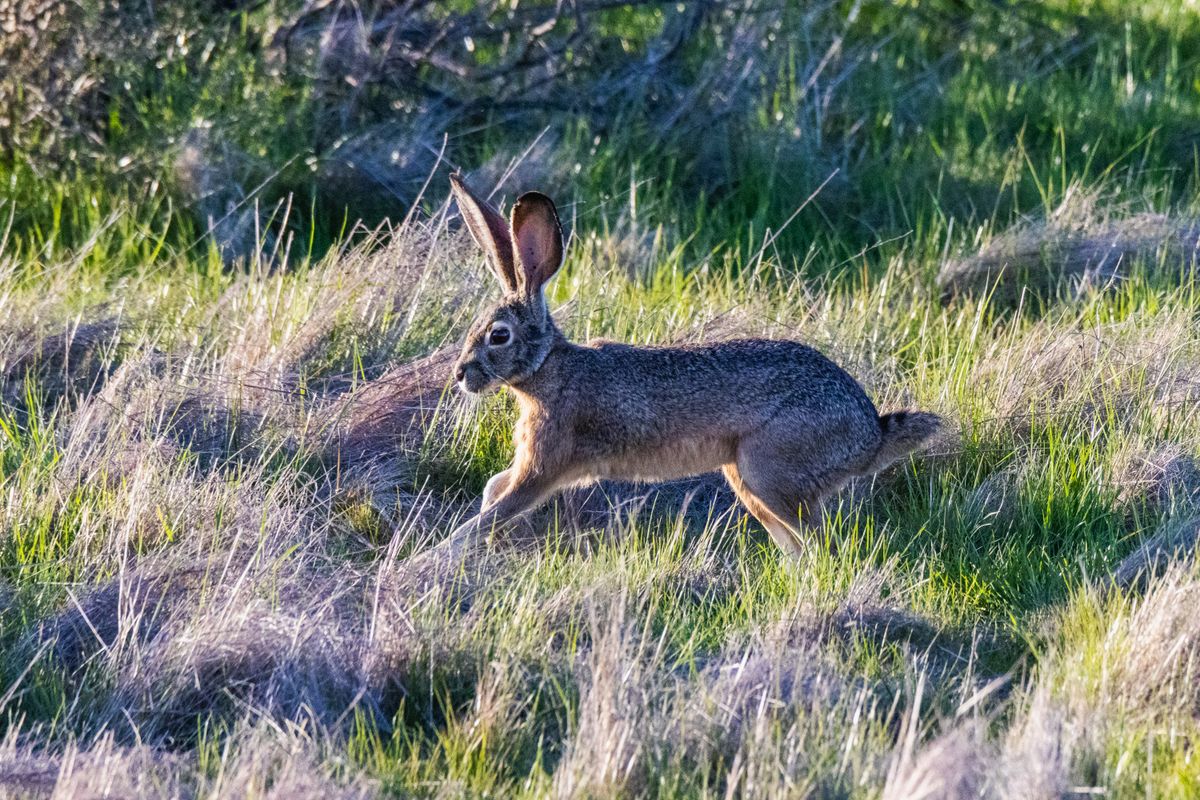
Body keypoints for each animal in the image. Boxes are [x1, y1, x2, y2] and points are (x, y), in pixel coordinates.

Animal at [439, 173, 941, 559]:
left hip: (769, 470)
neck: (546, 370)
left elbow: (494, 513)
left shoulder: (545, 465)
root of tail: (869, 435)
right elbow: (494, 489)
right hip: (748, 481)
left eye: (498, 336)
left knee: (824, 547)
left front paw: (440, 555)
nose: (461, 374)